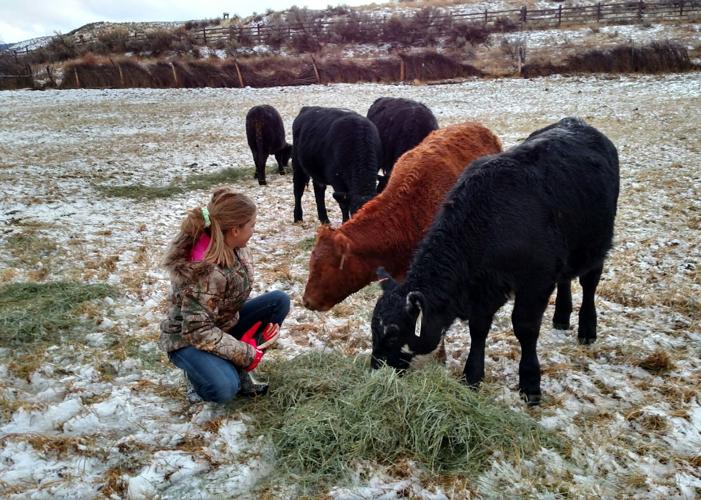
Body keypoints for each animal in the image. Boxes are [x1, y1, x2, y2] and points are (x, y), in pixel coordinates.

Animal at [370, 117, 620, 406]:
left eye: (394, 334)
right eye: (373, 329)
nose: (374, 369)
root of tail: (576, 123)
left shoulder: (535, 282)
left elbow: (525, 327)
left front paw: (530, 381)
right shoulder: (482, 289)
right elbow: (478, 329)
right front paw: (472, 375)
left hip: (596, 244)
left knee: (589, 283)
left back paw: (587, 328)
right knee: (566, 280)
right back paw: (561, 317)